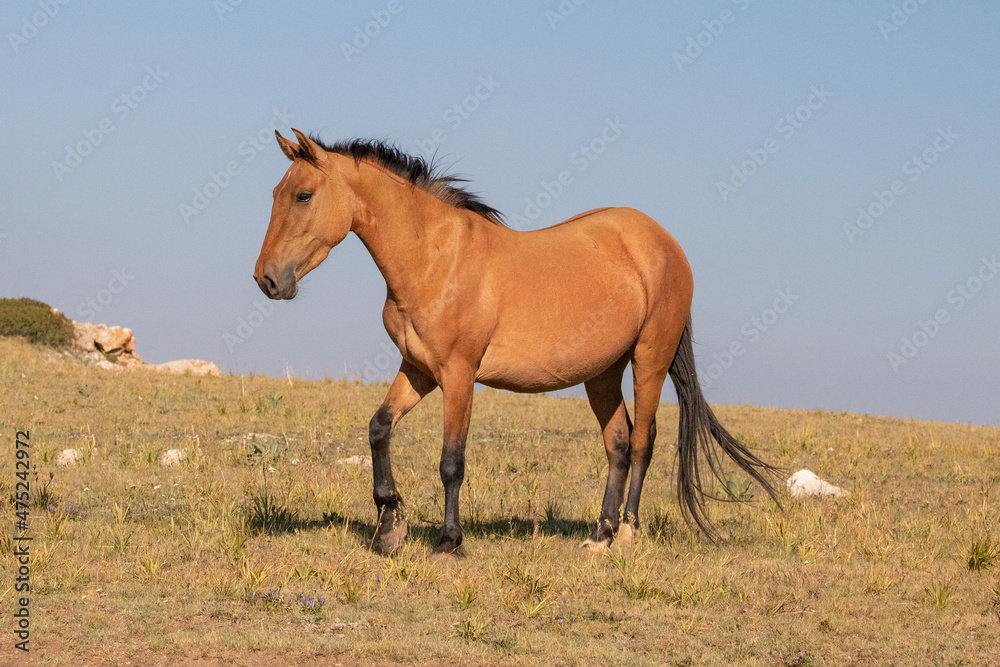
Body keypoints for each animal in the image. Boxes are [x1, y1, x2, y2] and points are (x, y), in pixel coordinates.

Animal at [254, 129, 779, 556]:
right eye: (276, 193)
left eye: (303, 195)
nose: (267, 279)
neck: (435, 258)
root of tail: (665, 242)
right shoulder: (420, 369)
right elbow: (379, 428)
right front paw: (389, 525)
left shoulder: (459, 374)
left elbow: (451, 461)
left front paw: (449, 542)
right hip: (602, 373)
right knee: (618, 442)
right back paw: (600, 535)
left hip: (649, 358)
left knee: (644, 442)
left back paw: (627, 534)